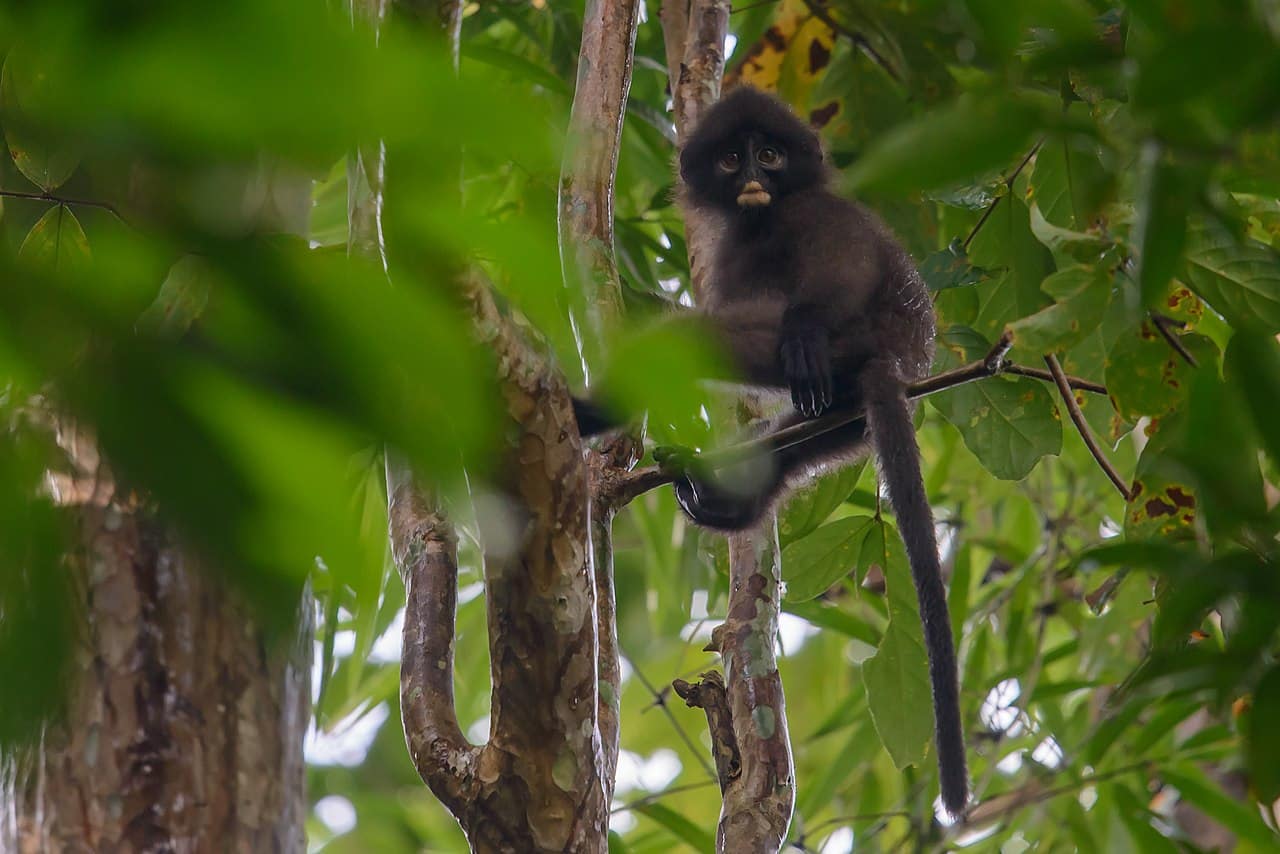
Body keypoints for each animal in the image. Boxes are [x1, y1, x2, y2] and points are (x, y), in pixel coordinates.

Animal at [574, 86, 968, 816]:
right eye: (732, 158)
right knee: (810, 432)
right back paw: (733, 499)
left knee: (714, 335)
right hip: (847, 412)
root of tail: (897, 359)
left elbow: (843, 261)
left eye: (772, 154)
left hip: (844, 341)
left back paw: (589, 409)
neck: (762, 219)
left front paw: (804, 323)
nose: (755, 175)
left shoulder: (814, 212)